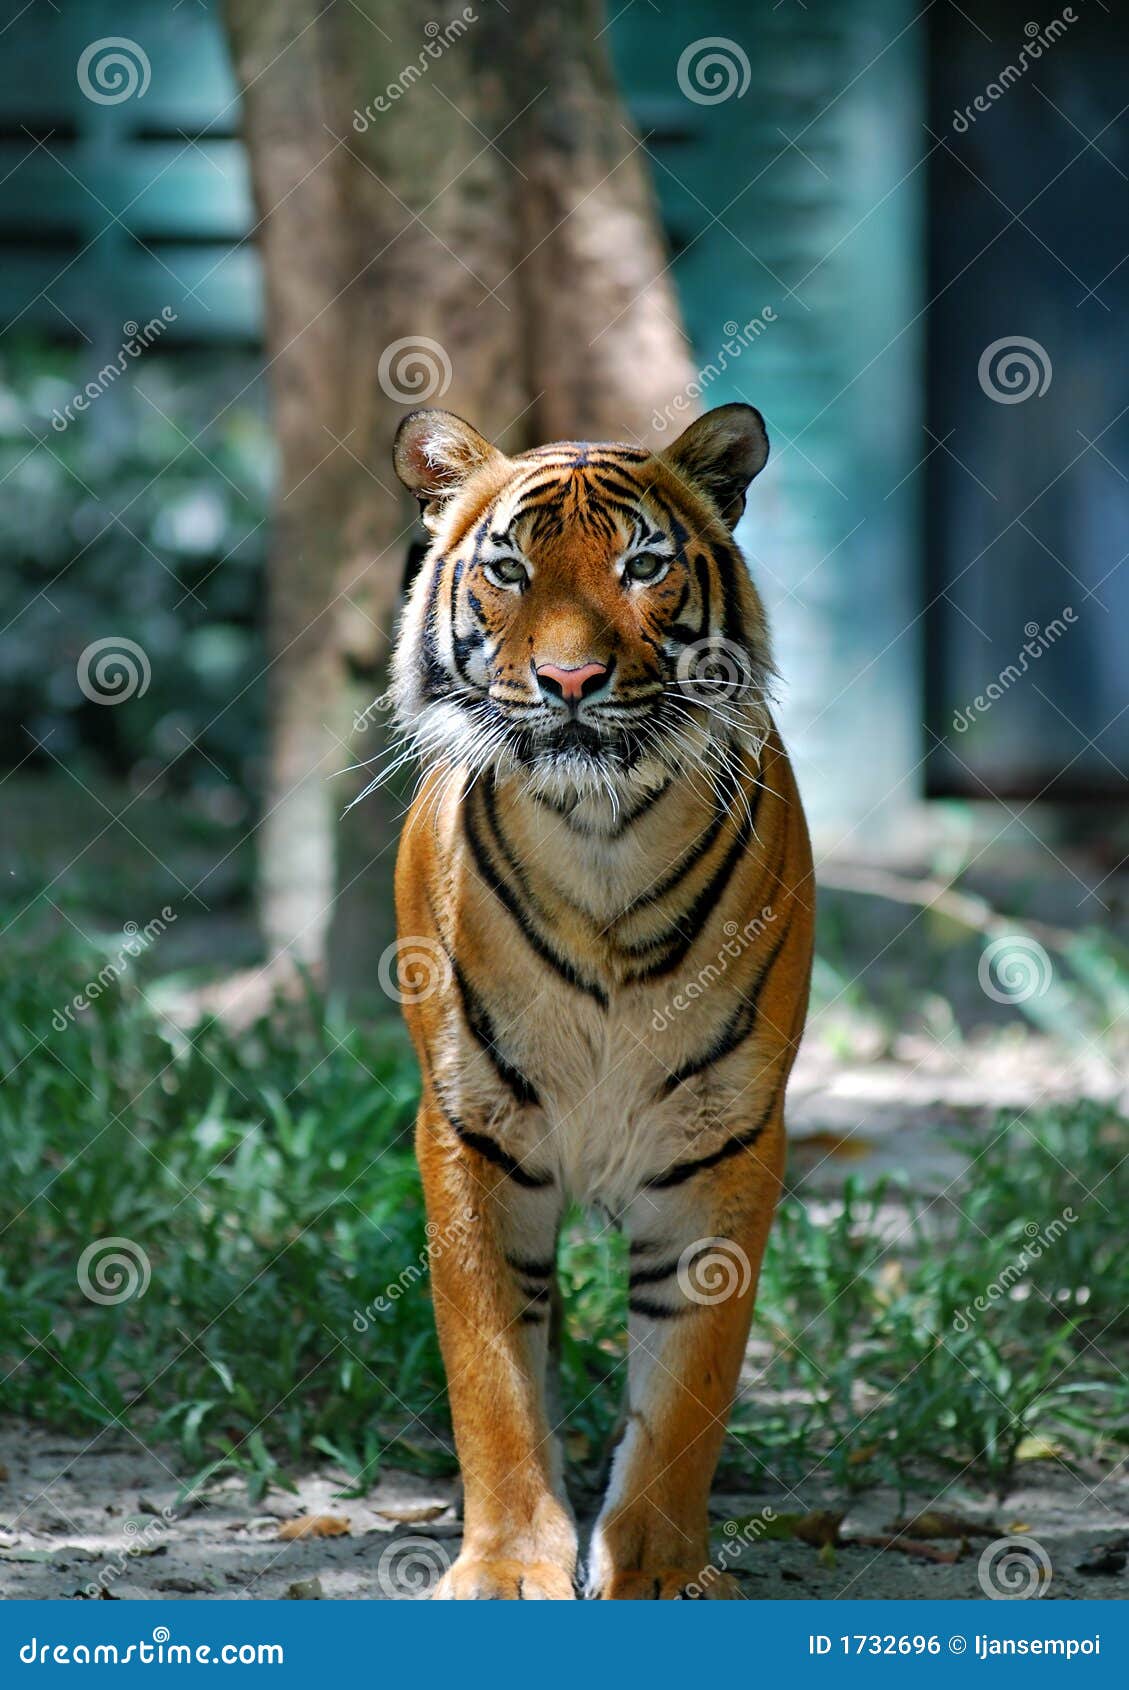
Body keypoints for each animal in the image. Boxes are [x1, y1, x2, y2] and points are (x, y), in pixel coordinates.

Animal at [387, 401, 814, 1599]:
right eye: (508, 570)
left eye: (643, 566)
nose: (571, 682)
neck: (601, 842)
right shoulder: (472, 1133)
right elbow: (491, 1375)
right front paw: (504, 1565)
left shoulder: (723, 1142)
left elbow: (686, 1385)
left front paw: (658, 1569)